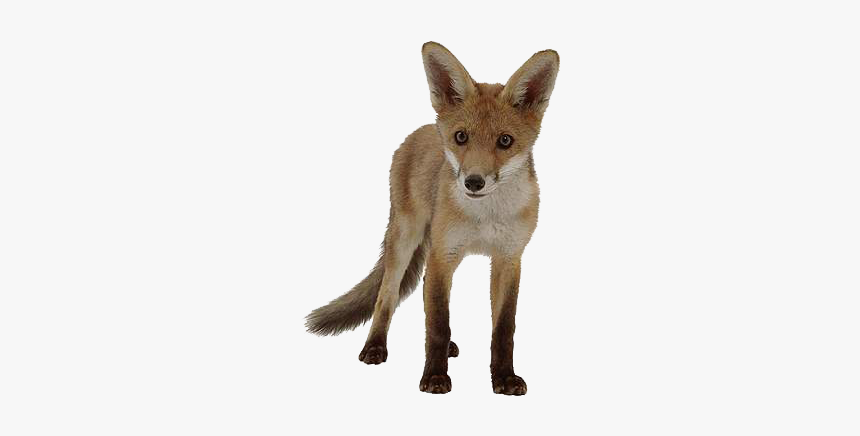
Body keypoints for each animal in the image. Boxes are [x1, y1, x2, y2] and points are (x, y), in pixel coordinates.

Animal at [306, 42, 559, 395]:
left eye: (505, 141)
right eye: (461, 137)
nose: (474, 182)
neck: (484, 217)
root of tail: (423, 130)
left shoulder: (509, 259)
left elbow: (503, 330)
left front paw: (504, 378)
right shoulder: (444, 253)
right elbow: (438, 323)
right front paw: (435, 377)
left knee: (423, 286)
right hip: (406, 239)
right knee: (386, 295)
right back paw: (375, 346)